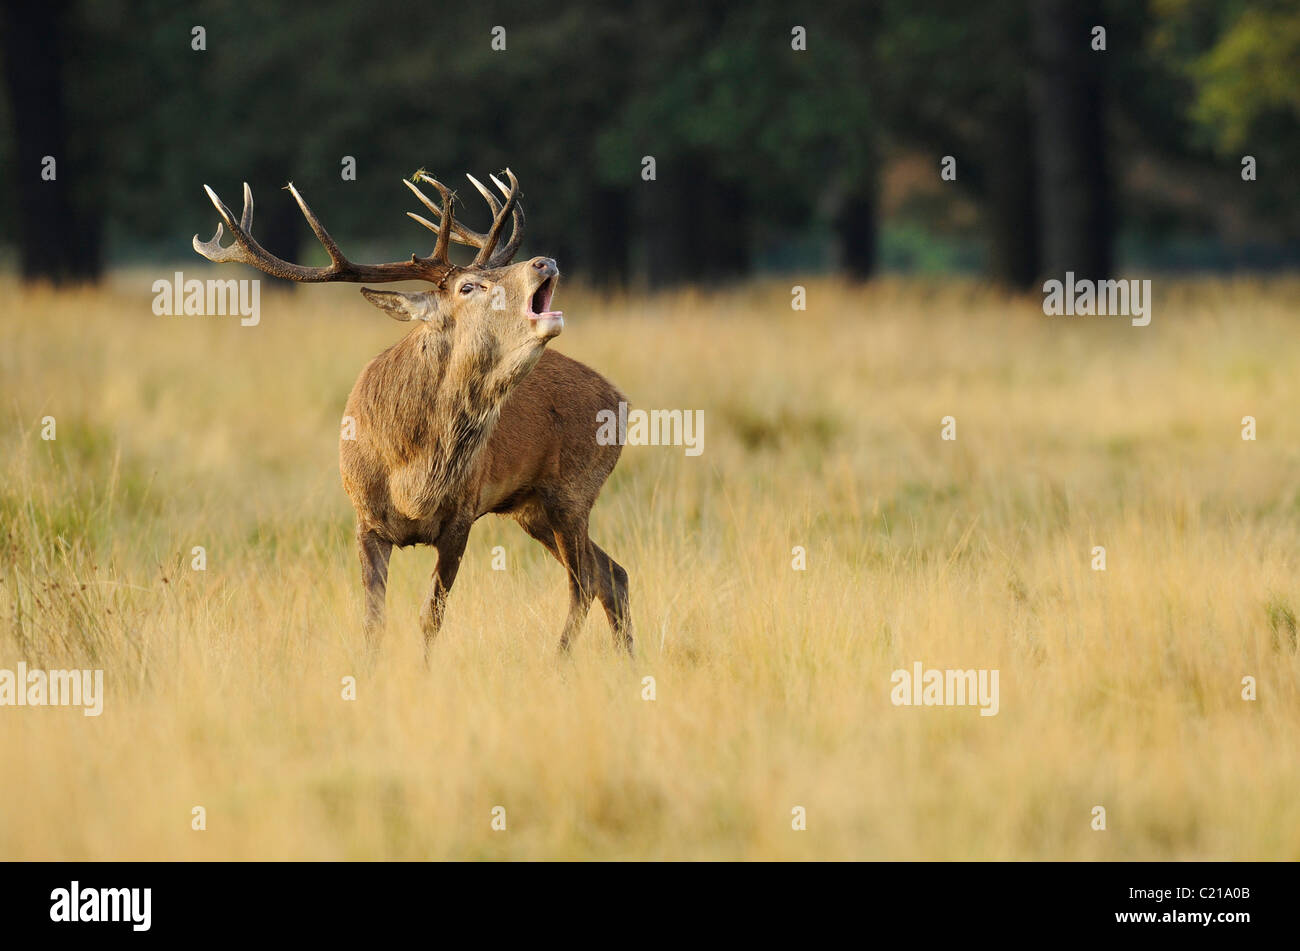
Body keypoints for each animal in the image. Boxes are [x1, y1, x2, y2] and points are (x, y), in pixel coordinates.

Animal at [192, 170, 632, 657]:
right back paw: (624, 661)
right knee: (611, 574)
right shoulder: (364, 518)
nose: (543, 261)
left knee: (585, 582)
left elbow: (430, 617)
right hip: (533, 508)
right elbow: (373, 620)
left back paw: (560, 661)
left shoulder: (461, 518)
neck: (411, 472)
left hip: (573, 491)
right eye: (468, 286)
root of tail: (621, 400)